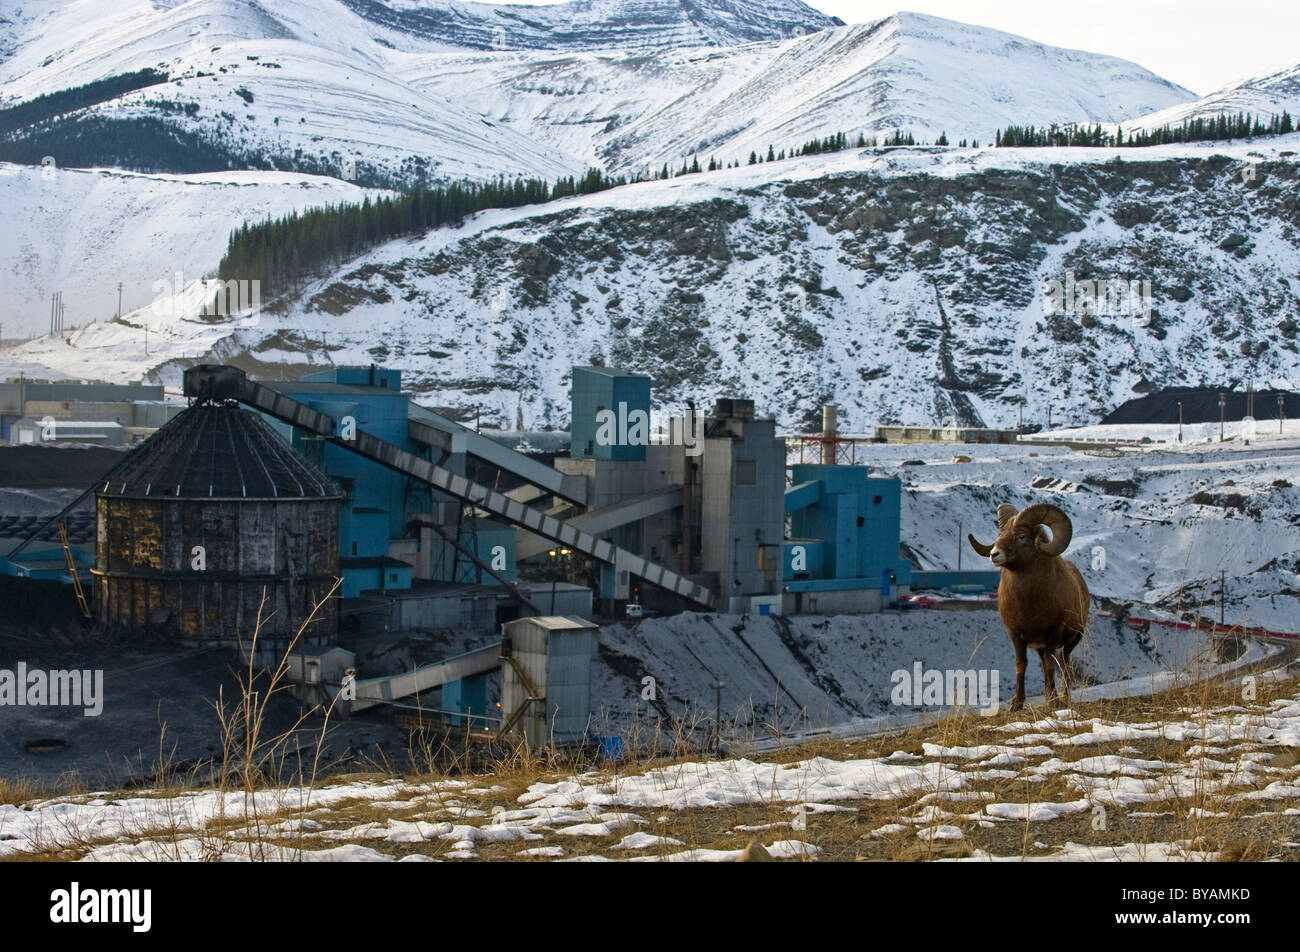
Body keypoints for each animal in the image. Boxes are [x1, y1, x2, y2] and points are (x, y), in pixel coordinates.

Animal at [967, 502, 1089, 711]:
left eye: (1022, 536)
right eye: (1000, 533)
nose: (994, 554)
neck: (1028, 604)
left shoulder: (1053, 632)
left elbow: (1050, 664)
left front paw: (1053, 702)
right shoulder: (1015, 634)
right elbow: (1021, 664)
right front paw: (1017, 703)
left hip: (1074, 638)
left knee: (1064, 663)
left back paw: (1063, 698)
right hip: (1042, 646)